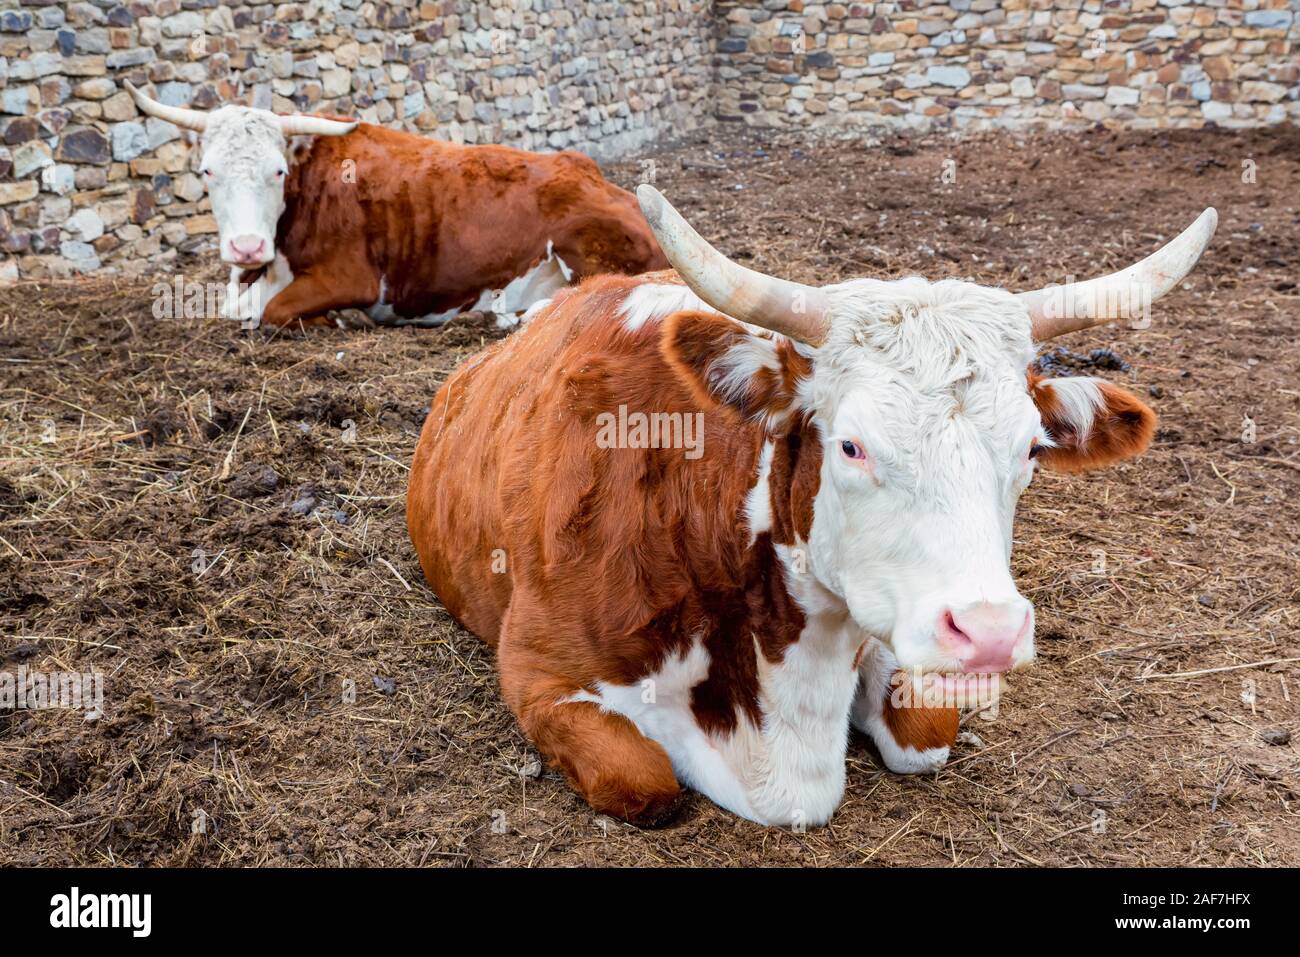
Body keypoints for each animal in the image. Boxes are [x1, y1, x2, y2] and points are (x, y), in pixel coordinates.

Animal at [124, 83, 666, 330]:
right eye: (208, 171)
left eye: (276, 171)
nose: (246, 247)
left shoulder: (351, 278)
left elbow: (275, 311)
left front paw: (341, 319)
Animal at [407, 185, 1216, 826]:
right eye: (851, 445)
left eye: (1029, 450)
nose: (988, 632)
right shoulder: (537, 670)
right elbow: (645, 781)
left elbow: (927, 732)